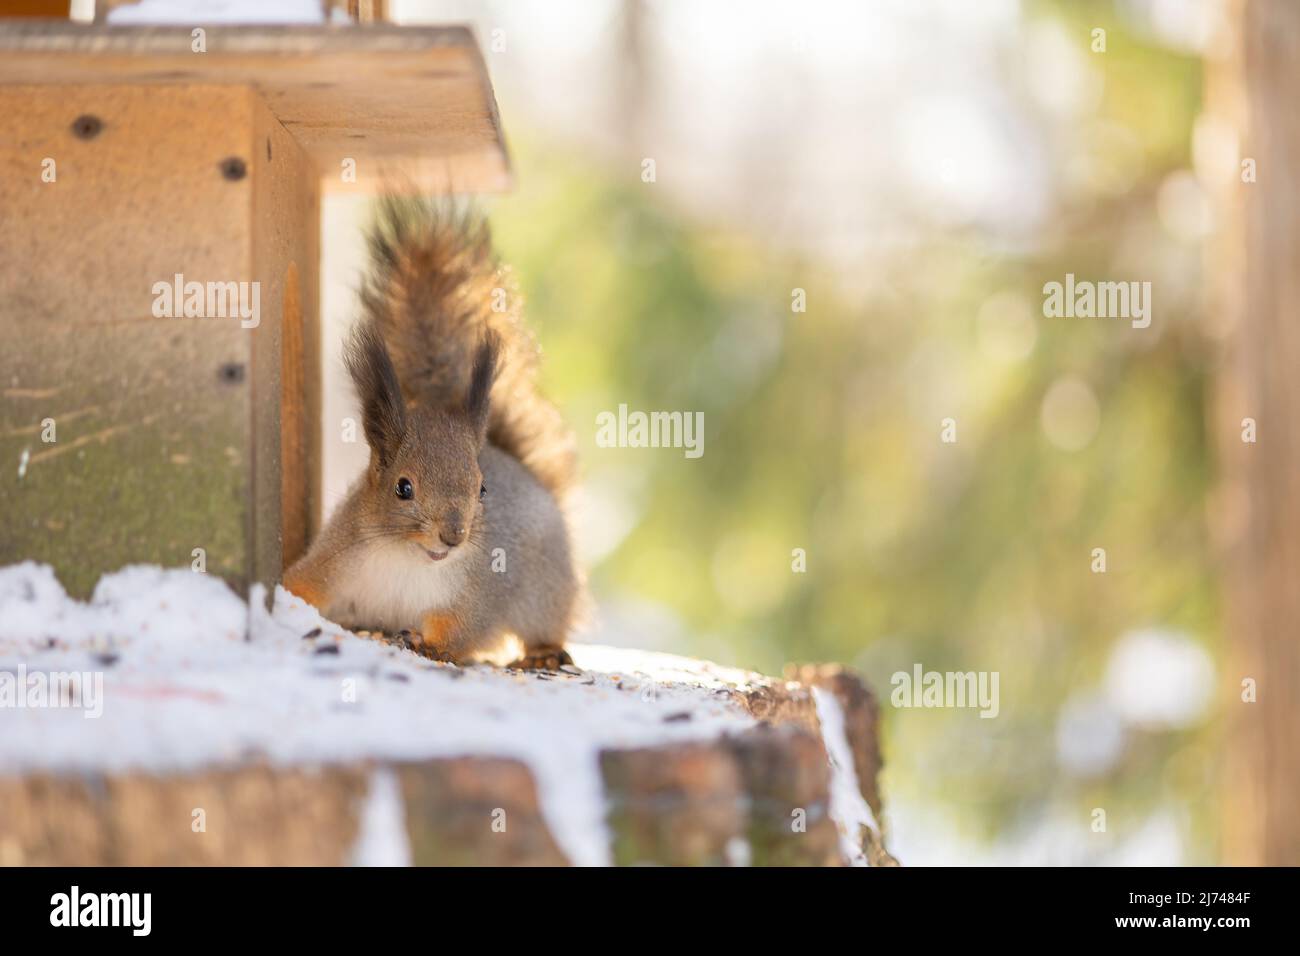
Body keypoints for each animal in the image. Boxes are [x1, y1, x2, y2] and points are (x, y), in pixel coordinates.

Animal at [283, 197, 584, 669]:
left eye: (482, 489)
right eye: (402, 487)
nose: (454, 535)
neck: (409, 558)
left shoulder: (474, 597)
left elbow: (460, 632)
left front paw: (429, 644)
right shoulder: (333, 562)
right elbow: (301, 586)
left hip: (548, 591)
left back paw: (543, 654)